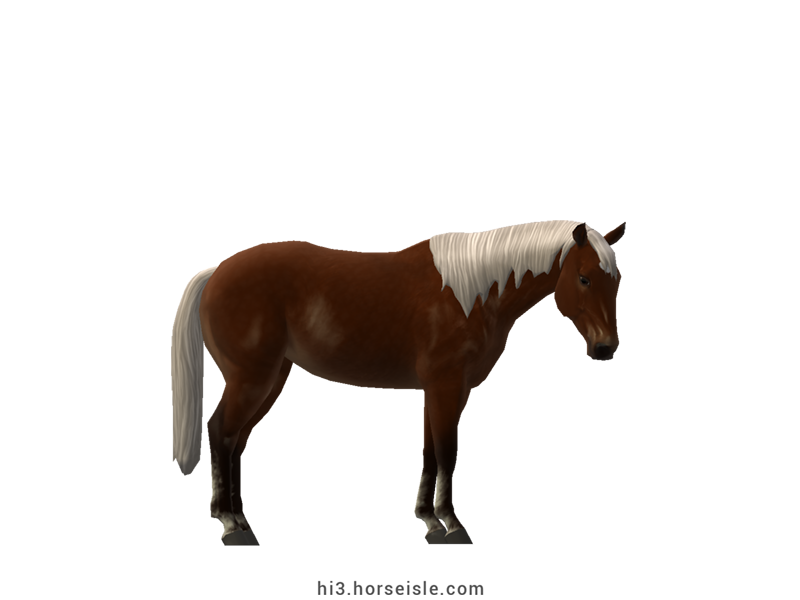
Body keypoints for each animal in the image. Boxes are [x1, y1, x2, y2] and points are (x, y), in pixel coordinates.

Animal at [171, 220, 622, 542]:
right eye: (584, 277)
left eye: (614, 277)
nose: (605, 347)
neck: (471, 293)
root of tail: (216, 273)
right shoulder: (446, 383)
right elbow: (447, 449)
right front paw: (450, 521)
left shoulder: (437, 387)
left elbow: (430, 450)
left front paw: (428, 518)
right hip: (251, 378)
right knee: (221, 433)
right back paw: (229, 519)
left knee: (227, 436)